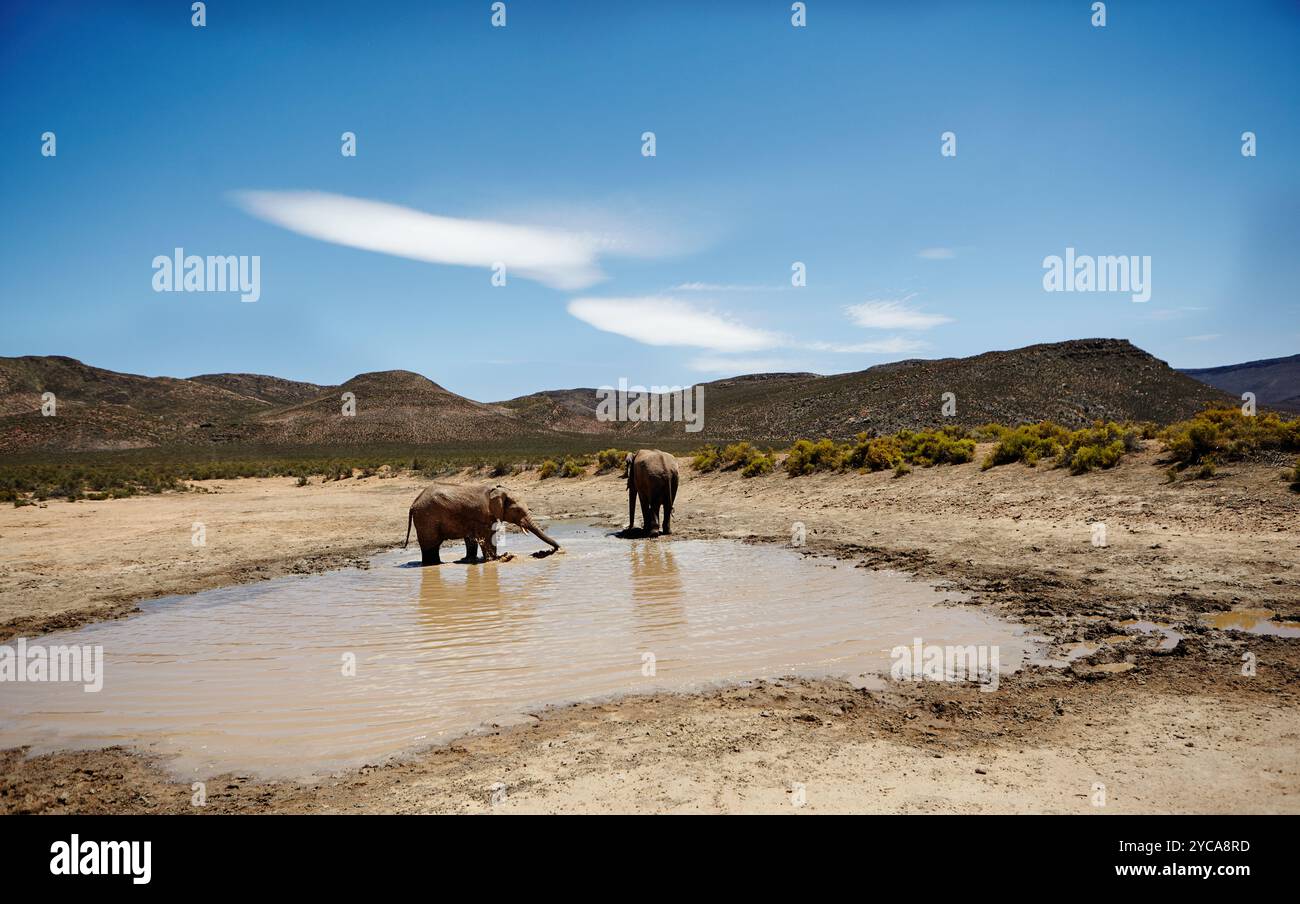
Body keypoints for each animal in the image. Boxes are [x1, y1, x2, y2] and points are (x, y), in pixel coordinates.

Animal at [403, 482, 560, 565]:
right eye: (518, 511)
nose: (553, 550)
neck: (498, 491)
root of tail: (413, 503)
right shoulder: (483, 516)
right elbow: (487, 536)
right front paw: (493, 560)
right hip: (426, 519)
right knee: (431, 544)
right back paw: (433, 564)